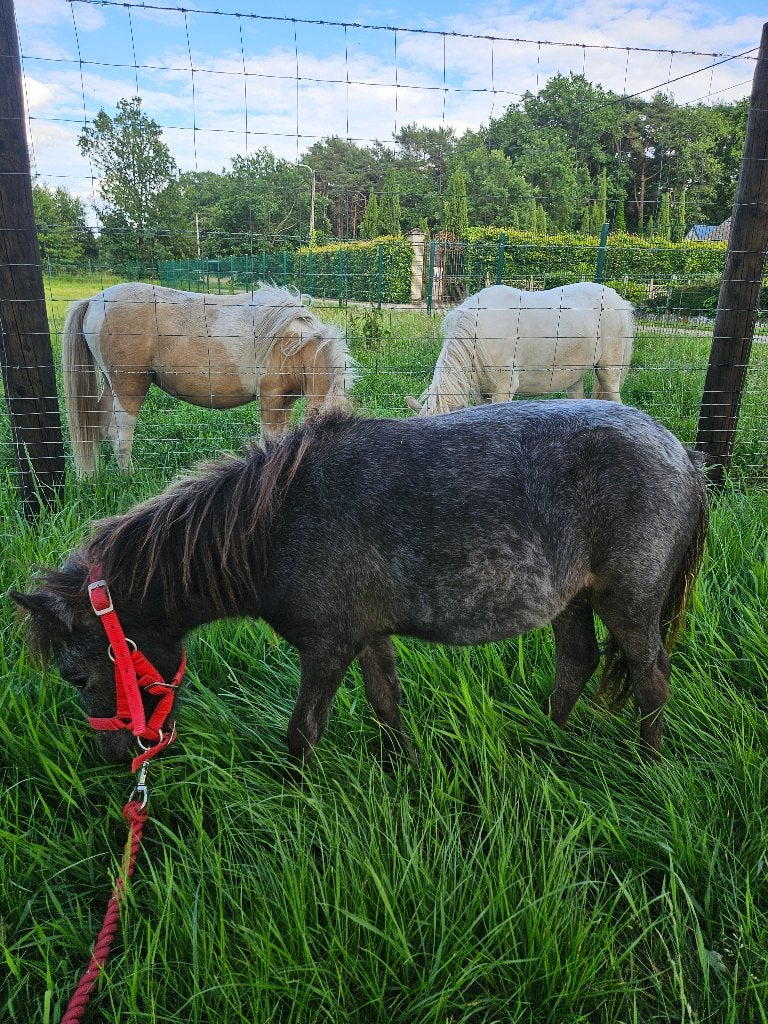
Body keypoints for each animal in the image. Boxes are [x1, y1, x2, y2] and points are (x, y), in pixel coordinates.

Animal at [10, 401, 707, 772]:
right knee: (577, 663)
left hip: (629, 603)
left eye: (76, 675)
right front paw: (410, 768)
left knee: (650, 676)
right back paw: (547, 746)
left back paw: (647, 764)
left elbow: (302, 732)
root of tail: (682, 454)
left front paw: (295, 801)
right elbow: (386, 704)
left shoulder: (327, 647)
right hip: (573, 600)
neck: (274, 524)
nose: (117, 755)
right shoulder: (368, 636)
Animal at [62, 282, 354, 476]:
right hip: (129, 388)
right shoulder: (270, 400)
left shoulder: (286, 402)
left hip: (111, 386)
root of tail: (94, 300)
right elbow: (269, 441)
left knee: (99, 427)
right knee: (120, 436)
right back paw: (129, 478)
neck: (292, 346)